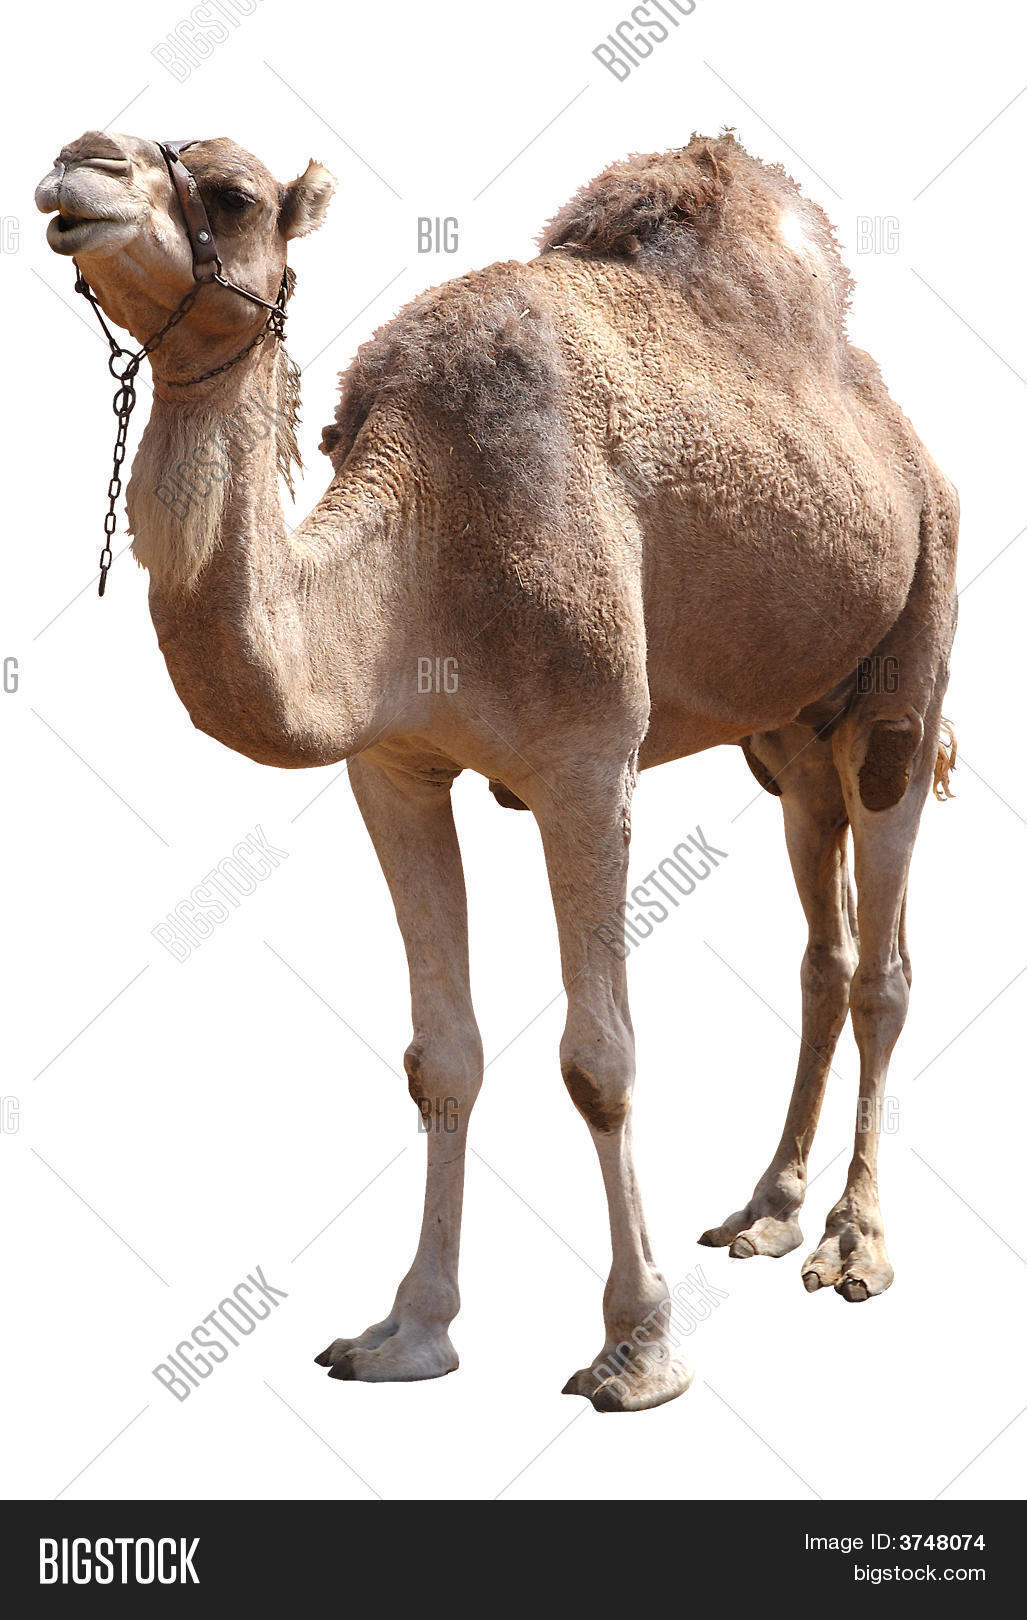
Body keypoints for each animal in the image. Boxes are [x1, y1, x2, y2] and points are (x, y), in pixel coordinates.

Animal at [37, 129, 957, 1413]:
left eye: (232, 193)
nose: (81, 167)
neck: (418, 544)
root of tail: (895, 427)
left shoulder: (586, 757)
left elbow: (599, 1059)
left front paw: (636, 1348)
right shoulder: (392, 768)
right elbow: (443, 1057)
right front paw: (406, 1333)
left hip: (911, 660)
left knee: (883, 962)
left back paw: (853, 1248)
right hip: (788, 733)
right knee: (822, 946)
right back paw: (765, 1215)